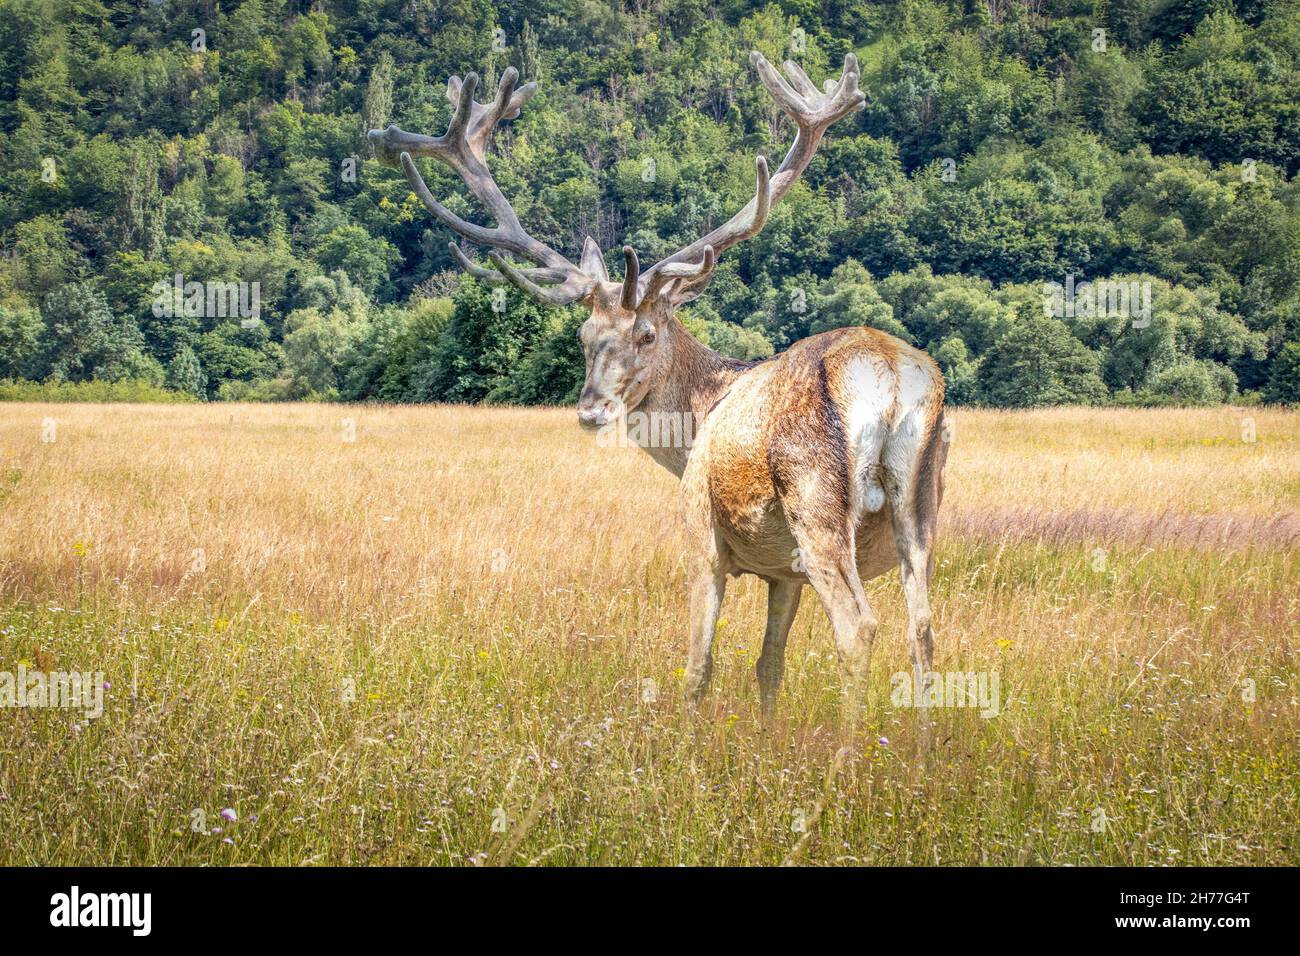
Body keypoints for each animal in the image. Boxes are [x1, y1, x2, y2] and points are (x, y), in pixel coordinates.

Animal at [371, 54, 951, 723]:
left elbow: (698, 666)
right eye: (583, 333)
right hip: (921, 505)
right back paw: (921, 742)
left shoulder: (701, 530)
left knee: (860, 628)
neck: (699, 420)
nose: (591, 409)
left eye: (646, 333)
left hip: (817, 500)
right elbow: (768, 666)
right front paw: (766, 736)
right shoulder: (783, 571)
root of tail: (891, 377)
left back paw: (849, 748)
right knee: (923, 630)